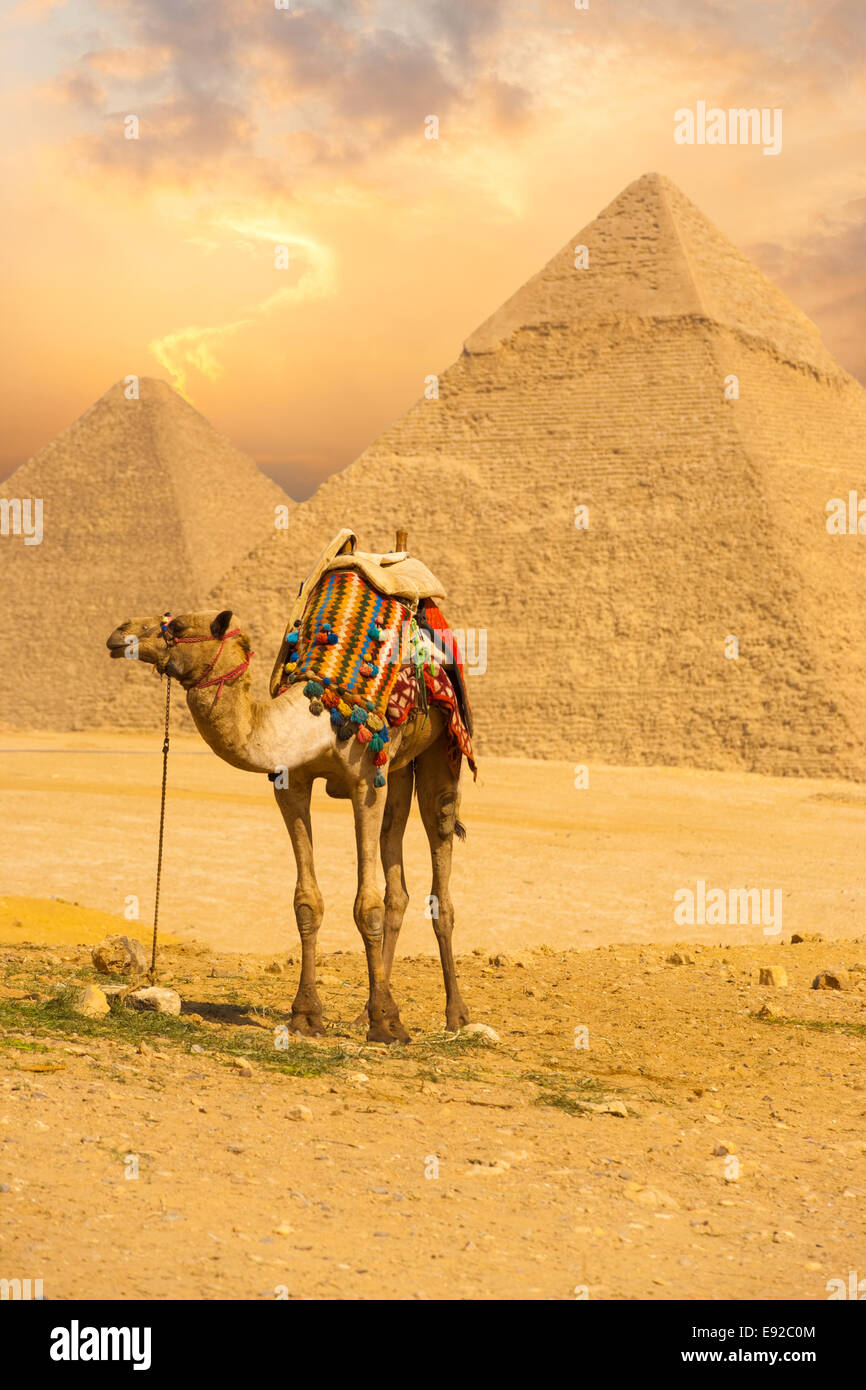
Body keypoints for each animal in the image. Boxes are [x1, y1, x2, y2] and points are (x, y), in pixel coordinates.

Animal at [105, 603, 471, 1044]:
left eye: (176, 625)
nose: (118, 632)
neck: (321, 716)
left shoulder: (366, 781)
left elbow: (366, 906)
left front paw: (387, 1024)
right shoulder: (292, 782)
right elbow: (307, 902)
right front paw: (307, 1015)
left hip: (440, 751)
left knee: (440, 861)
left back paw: (456, 1015)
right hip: (399, 769)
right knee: (396, 880)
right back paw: (363, 1014)